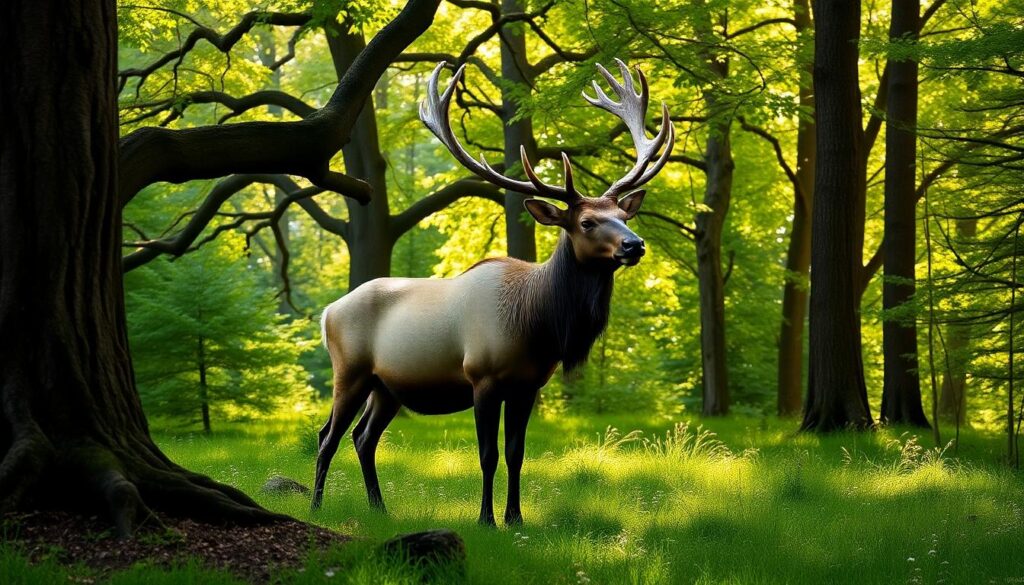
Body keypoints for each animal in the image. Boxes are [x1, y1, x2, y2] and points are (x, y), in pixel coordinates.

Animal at [311, 59, 675, 526]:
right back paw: (316, 505)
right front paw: (485, 518)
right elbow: (488, 455)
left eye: (623, 216)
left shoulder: (528, 385)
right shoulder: (481, 378)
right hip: (351, 371)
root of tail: (327, 312)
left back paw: (380, 509)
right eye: (587, 222)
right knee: (327, 436)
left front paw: (515, 518)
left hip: (386, 386)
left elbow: (517, 454)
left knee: (363, 437)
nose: (634, 245)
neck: (540, 327)